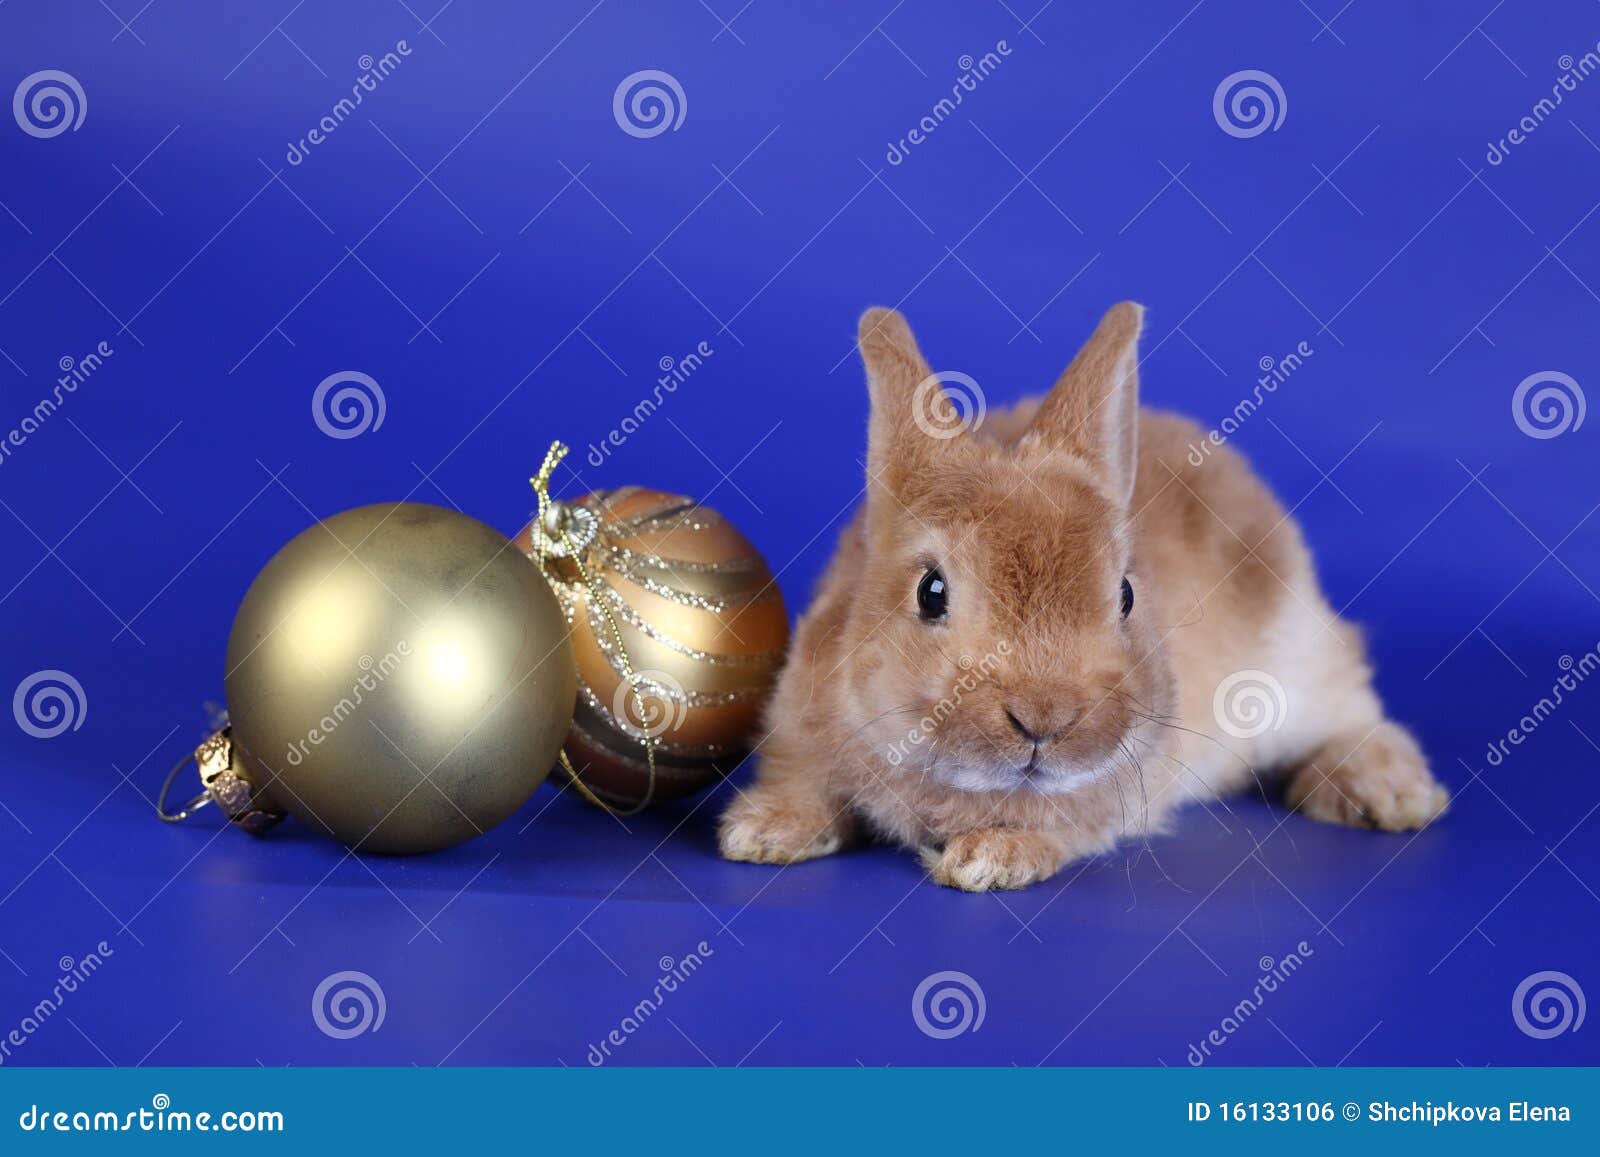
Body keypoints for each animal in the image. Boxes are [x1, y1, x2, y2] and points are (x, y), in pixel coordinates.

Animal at [718, 302, 1449, 891]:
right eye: (931, 591)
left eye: (1125, 594)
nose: (1045, 717)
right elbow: (805, 784)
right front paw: (762, 831)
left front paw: (989, 859)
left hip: (1298, 659)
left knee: (1353, 713)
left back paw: (1387, 793)